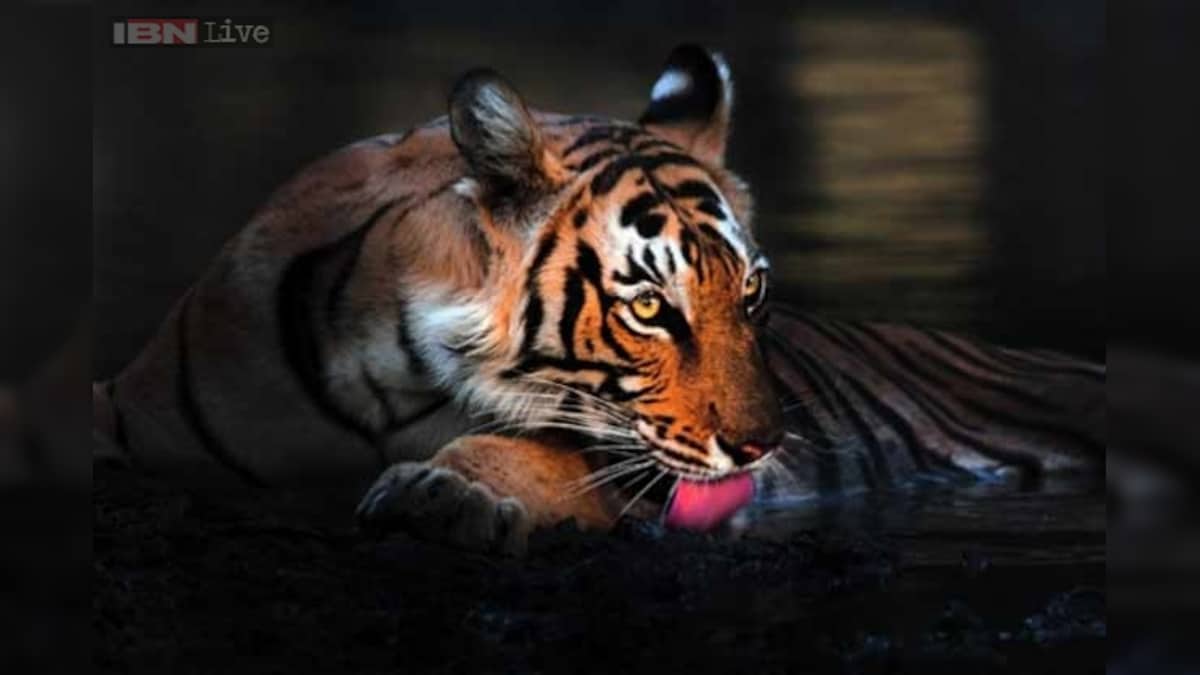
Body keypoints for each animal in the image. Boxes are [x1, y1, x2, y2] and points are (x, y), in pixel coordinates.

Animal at [91, 45, 1105, 554]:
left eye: (753, 294)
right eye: (651, 308)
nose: (763, 446)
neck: (388, 374)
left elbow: (542, 458)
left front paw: (446, 490)